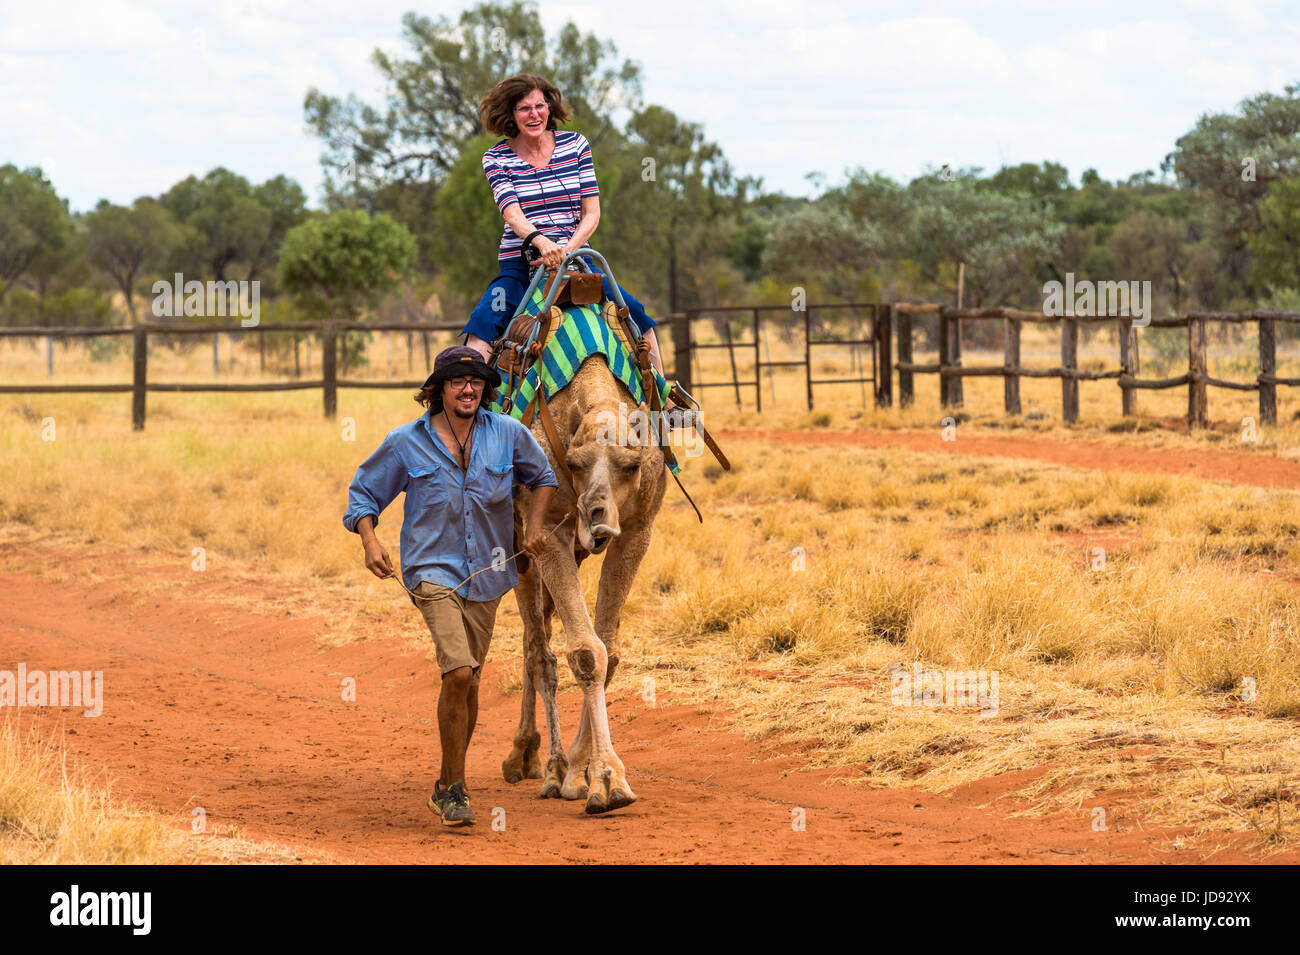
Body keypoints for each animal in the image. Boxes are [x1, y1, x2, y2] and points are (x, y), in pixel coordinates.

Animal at [500, 350, 667, 814]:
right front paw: (601, 778)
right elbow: (586, 651)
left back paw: (541, 759)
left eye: (632, 465)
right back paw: (532, 759)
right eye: (573, 464)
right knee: (537, 648)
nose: (596, 519)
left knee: (537, 634)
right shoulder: (547, 530)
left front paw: (585, 769)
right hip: (518, 544)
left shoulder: (637, 529)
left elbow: (608, 649)